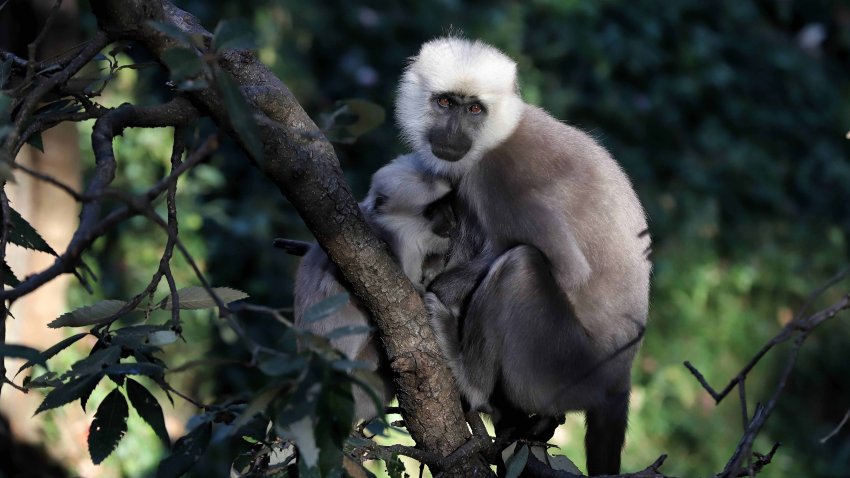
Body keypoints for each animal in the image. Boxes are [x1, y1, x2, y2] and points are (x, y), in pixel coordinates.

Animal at [395, 37, 652, 475]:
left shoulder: (499, 179)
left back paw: (470, 380)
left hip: (558, 369)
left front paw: (437, 288)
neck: (496, 138)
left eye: (475, 110)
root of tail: (618, 384)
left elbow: (567, 270)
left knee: (521, 266)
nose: (451, 132)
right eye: (445, 103)